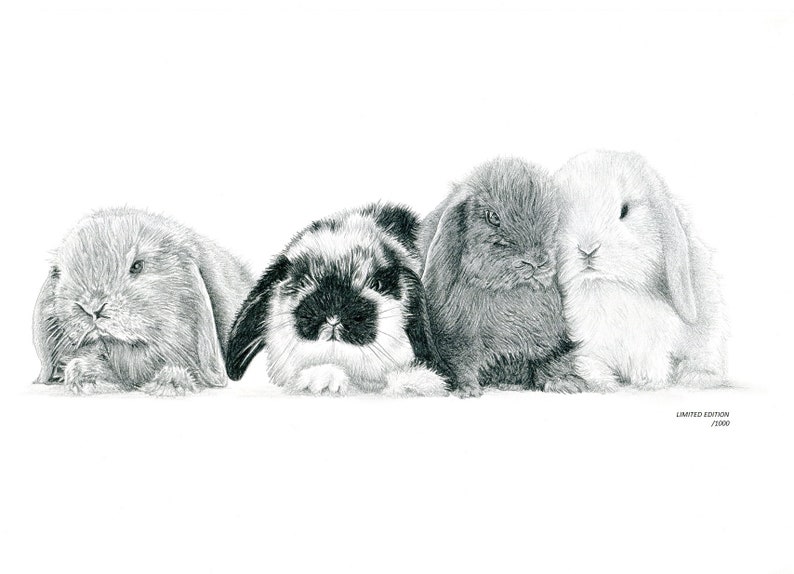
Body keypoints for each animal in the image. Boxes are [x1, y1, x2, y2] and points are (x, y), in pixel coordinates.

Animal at [418, 157, 586, 397]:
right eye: (493, 217)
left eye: (553, 221)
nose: (536, 261)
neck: (503, 291)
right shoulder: (456, 340)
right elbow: (462, 366)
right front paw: (469, 391)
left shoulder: (551, 341)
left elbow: (552, 361)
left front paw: (567, 384)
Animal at [554, 150, 728, 391]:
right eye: (560, 214)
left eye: (624, 210)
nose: (587, 248)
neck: (608, 284)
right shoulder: (587, 344)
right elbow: (591, 363)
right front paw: (602, 384)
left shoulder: (655, 339)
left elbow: (653, 360)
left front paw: (649, 382)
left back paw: (694, 377)